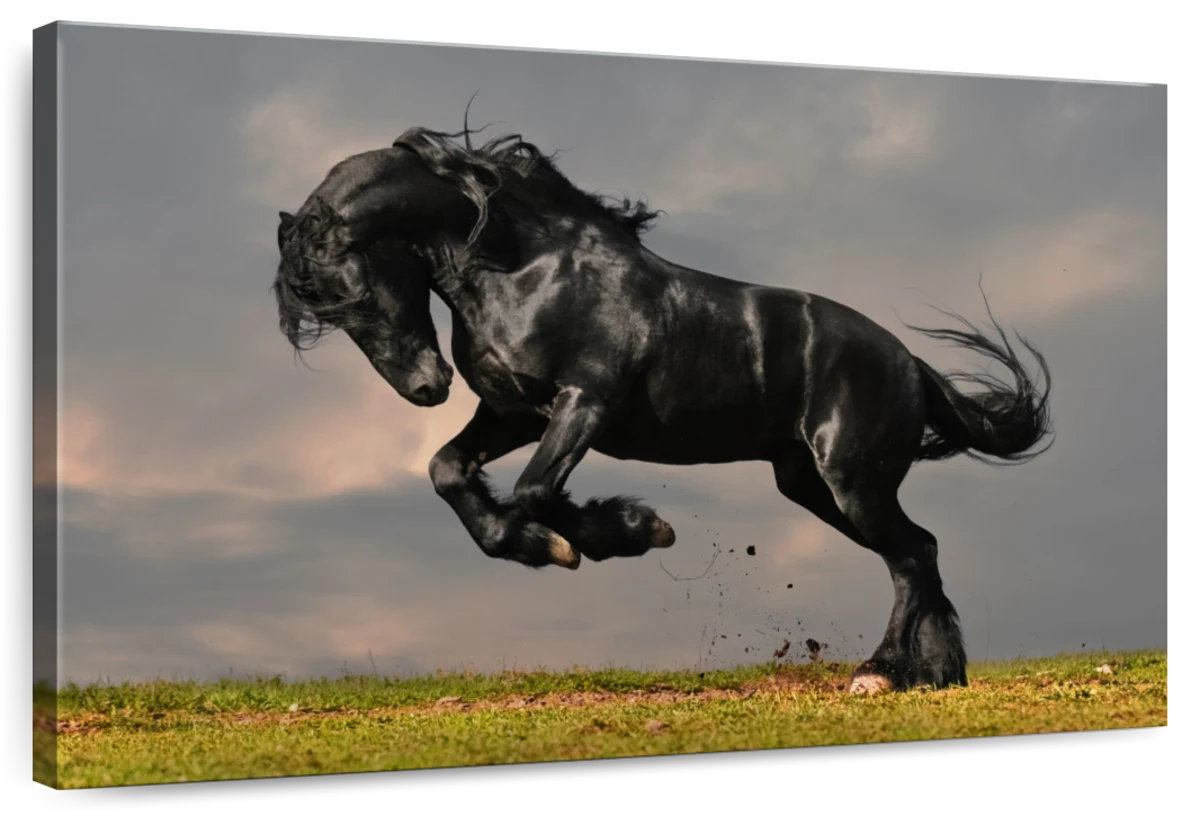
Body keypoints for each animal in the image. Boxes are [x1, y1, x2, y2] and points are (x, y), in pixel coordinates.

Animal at [272, 126, 1051, 693]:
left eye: (354, 293)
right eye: (327, 312)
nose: (426, 387)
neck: (525, 267)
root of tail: (909, 363)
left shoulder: (584, 403)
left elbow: (534, 489)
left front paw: (627, 531)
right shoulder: (514, 413)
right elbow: (448, 472)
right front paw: (541, 544)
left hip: (851, 481)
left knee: (913, 555)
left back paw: (880, 673)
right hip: (813, 486)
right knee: (920, 553)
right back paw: (937, 675)